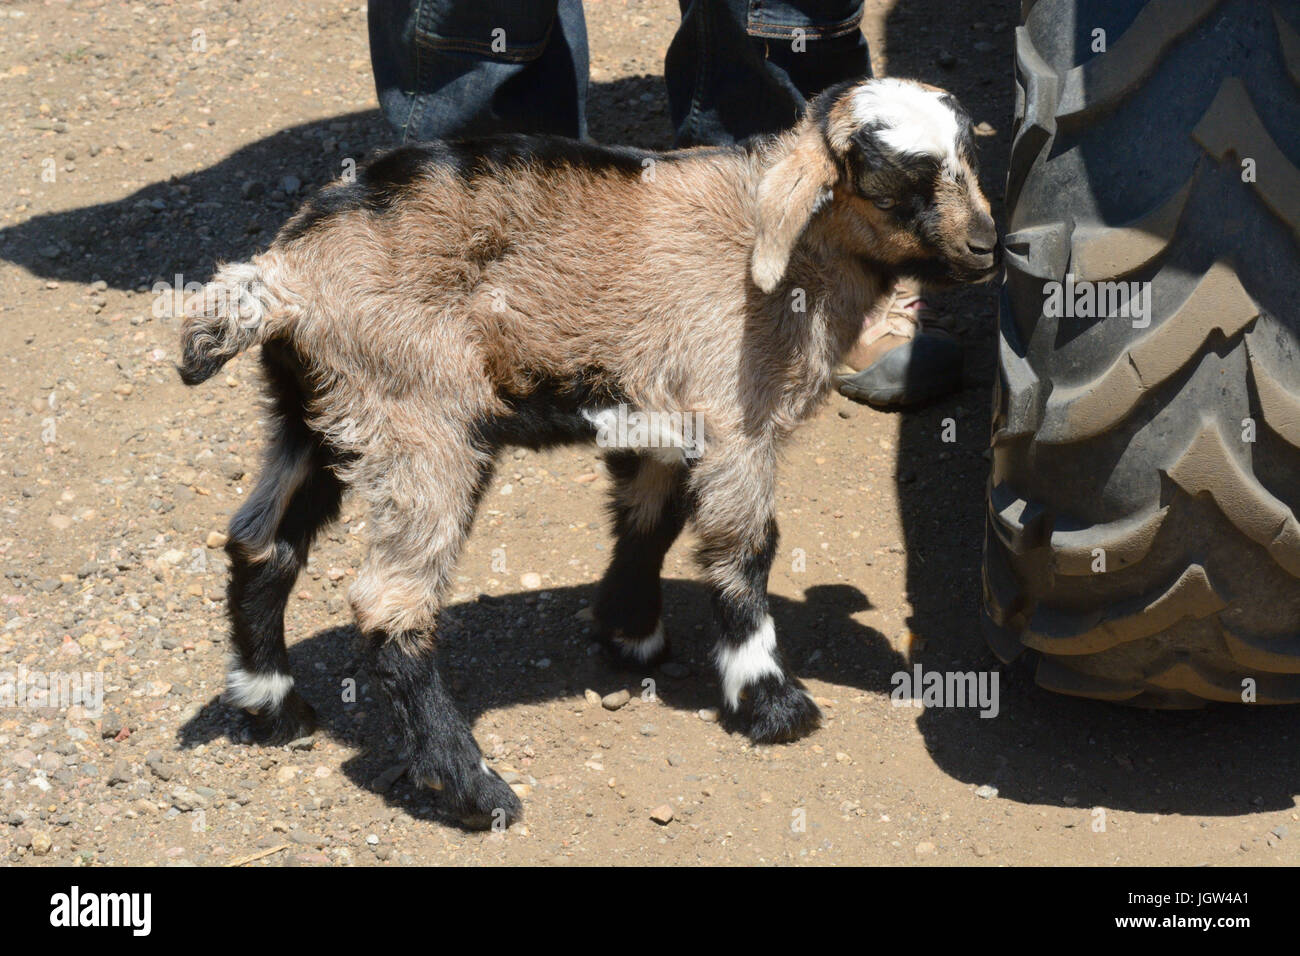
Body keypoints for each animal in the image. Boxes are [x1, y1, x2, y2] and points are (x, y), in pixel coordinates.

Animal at [178, 76, 998, 828]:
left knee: (260, 542)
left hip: (317, 411)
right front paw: (770, 702)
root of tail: (280, 278)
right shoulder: (738, 419)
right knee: (387, 600)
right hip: (418, 415)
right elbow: (745, 551)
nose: (988, 247)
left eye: (968, 153)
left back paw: (272, 706)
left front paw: (630, 633)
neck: (789, 254)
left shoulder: (666, 411)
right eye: (894, 181)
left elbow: (650, 522)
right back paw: (470, 785)